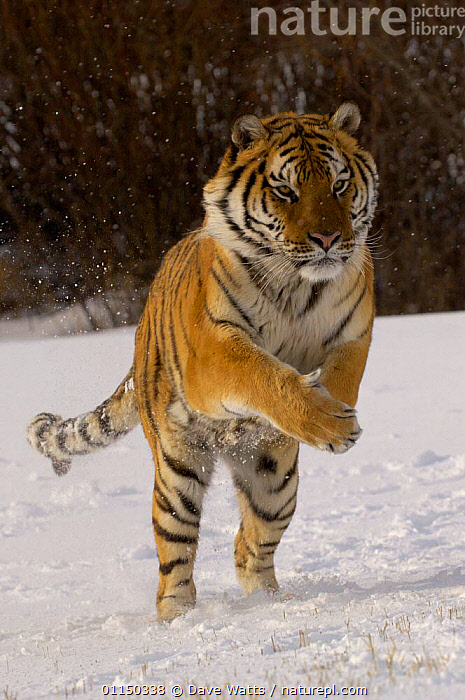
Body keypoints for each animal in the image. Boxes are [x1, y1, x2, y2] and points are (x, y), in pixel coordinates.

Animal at [27, 102, 378, 622]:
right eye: (286, 190)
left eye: (339, 185)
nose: (329, 238)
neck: (296, 286)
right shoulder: (214, 351)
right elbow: (262, 374)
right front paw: (329, 422)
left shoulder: (355, 332)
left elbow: (341, 377)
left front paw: (331, 415)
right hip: (176, 470)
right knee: (174, 553)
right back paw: (177, 617)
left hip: (276, 488)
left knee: (249, 544)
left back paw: (270, 602)